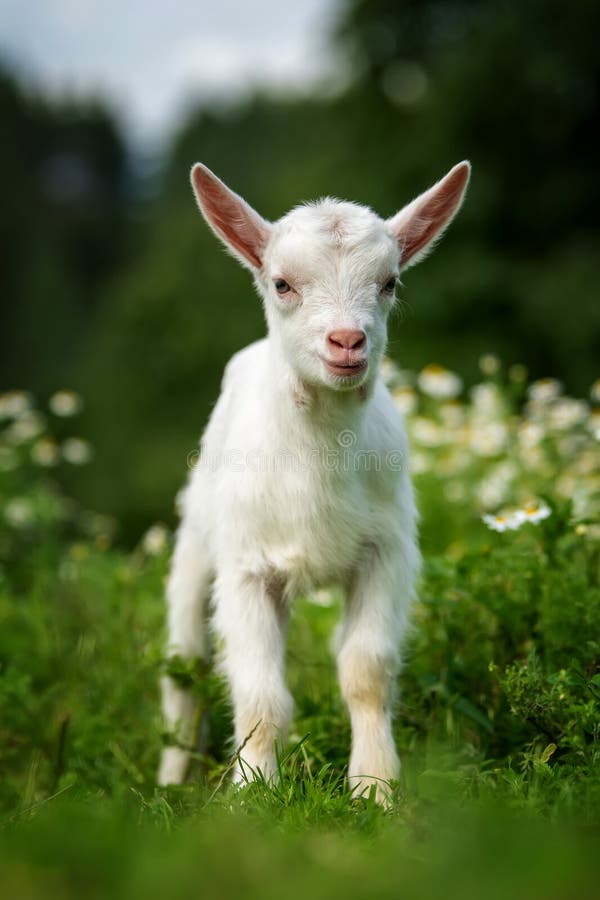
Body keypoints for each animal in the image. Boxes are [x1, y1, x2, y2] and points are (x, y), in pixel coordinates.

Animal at [158, 160, 470, 802]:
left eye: (390, 282)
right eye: (282, 284)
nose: (347, 342)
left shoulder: (386, 552)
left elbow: (365, 673)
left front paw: (375, 787)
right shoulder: (246, 568)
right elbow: (259, 696)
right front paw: (252, 795)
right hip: (196, 546)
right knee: (186, 664)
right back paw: (172, 781)